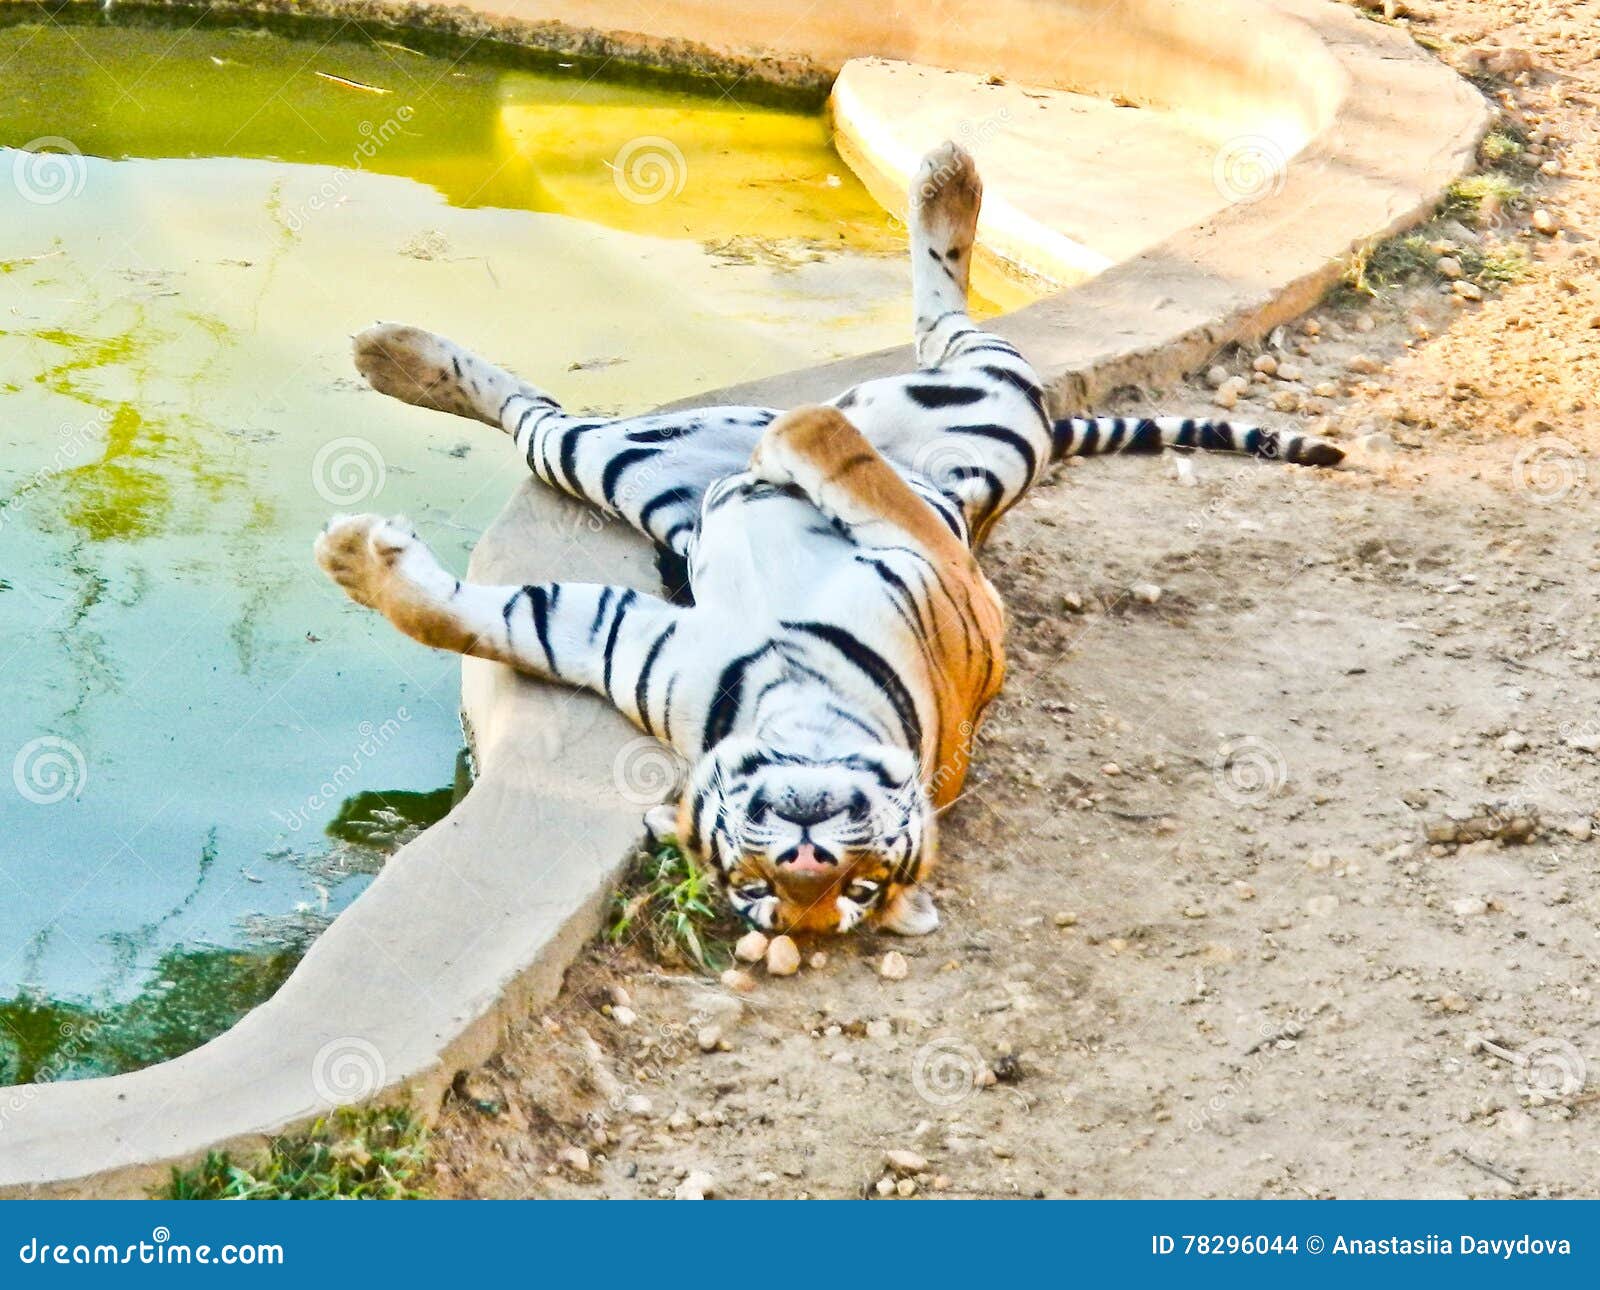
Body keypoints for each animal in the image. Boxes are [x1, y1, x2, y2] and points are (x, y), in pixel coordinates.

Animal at [315, 141, 1344, 937]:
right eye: (757, 880)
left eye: (852, 889)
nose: (805, 864)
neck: (796, 701)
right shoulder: (915, 562)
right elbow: (820, 442)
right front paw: (354, 559)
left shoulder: (615, 628)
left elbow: (490, 616)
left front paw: (354, 561)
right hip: (964, 408)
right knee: (931, 326)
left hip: (640, 464)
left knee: (551, 418)